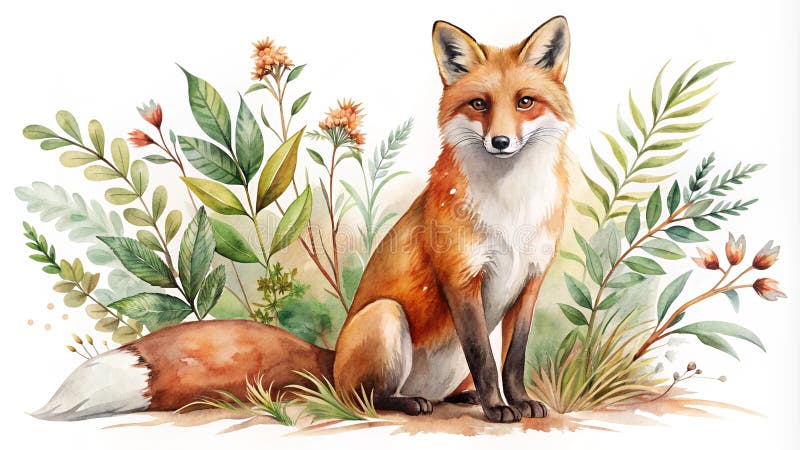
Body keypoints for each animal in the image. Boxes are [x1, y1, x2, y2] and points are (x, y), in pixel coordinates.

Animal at [33, 16, 573, 423]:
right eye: (479, 104)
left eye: (525, 102)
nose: (500, 142)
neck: (512, 209)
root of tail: (330, 359)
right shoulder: (459, 276)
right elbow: (486, 358)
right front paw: (497, 409)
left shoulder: (531, 277)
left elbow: (512, 359)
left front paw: (518, 402)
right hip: (385, 318)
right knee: (362, 396)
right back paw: (407, 401)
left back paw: (459, 397)